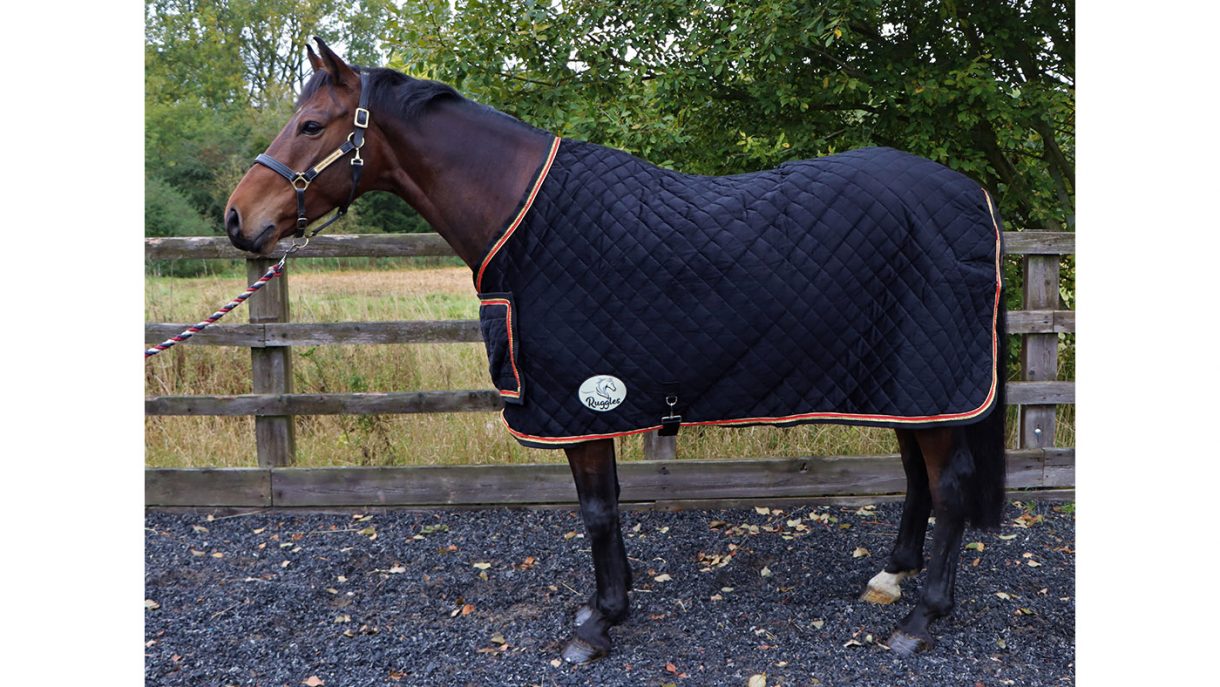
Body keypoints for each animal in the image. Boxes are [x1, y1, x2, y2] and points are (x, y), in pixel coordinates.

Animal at [224, 38, 1007, 663]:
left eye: (312, 125)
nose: (238, 219)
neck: (524, 217)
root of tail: (975, 199)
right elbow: (605, 507)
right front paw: (610, 604)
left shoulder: (579, 402)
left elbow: (598, 509)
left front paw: (599, 624)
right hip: (907, 383)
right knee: (919, 476)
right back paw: (892, 576)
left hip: (931, 378)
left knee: (950, 485)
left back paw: (922, 617)